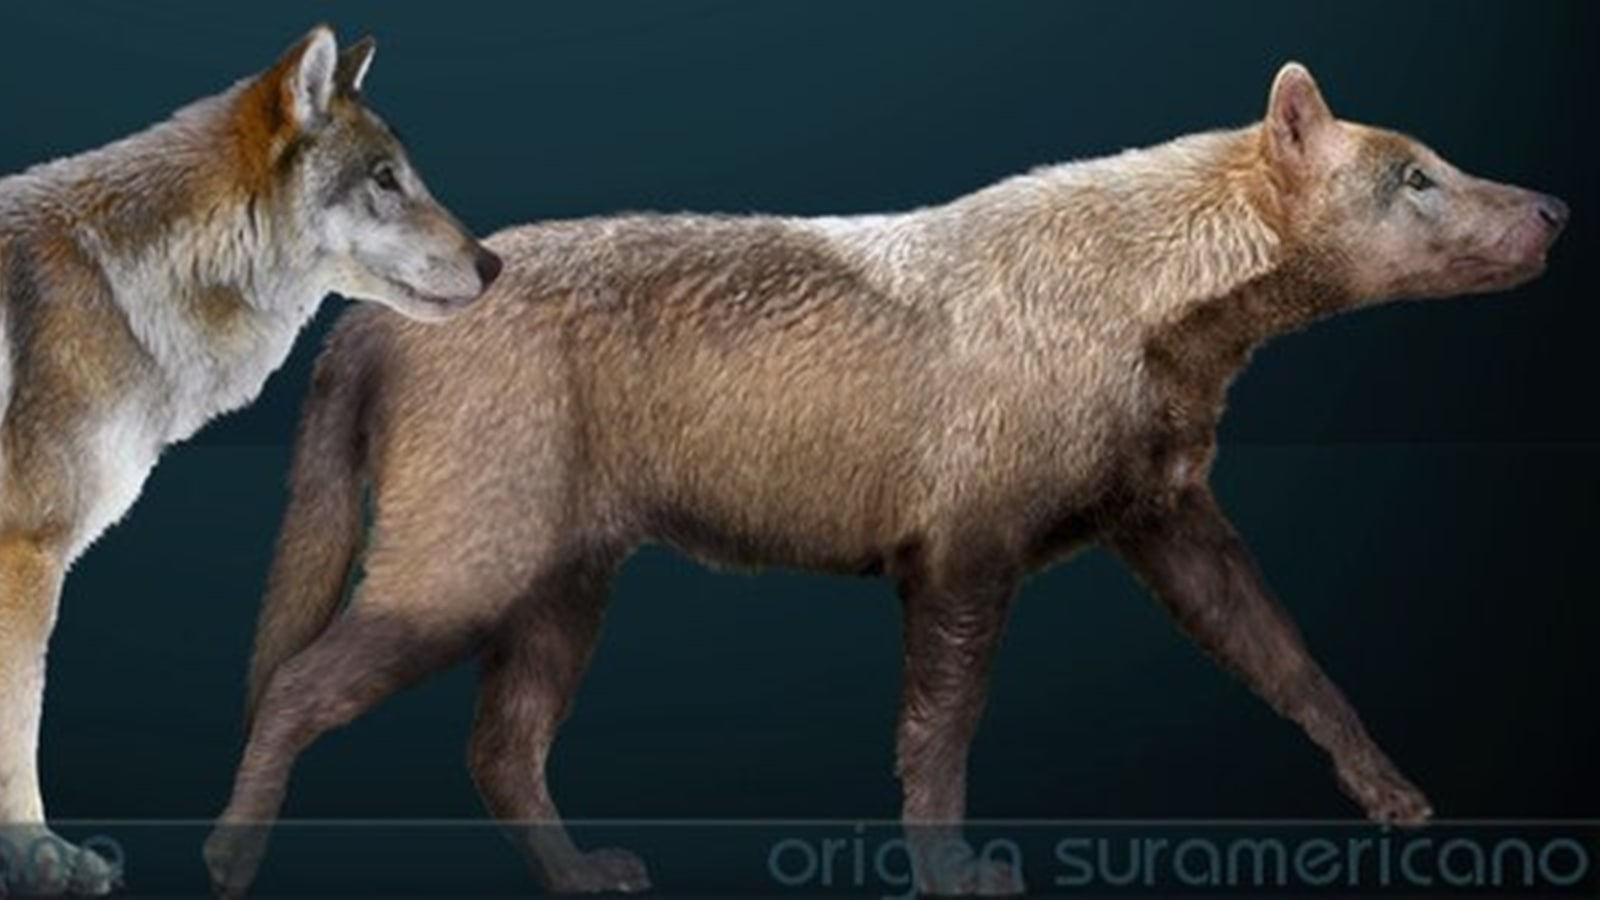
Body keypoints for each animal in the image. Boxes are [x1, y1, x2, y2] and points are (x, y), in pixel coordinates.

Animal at [0, 25, 500, 896]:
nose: (492, 264)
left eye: (406, 175)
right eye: (385, 180)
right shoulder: (26, 550)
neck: (124, 287)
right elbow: (18, 725)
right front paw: (40, 858)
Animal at [206, 63, 1565, 896]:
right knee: (301, 687)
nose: (1553, 207)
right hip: (462, 573)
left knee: (498, 748)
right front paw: (952, 875)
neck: (1141, 301)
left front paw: (1396, 800)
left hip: (564, 588)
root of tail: (368, 321)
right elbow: (938, 737)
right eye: (1416, 176)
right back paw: (227, 858)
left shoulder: (1169, 521)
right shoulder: (962, 558)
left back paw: (585, 876)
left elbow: (1294, 665)